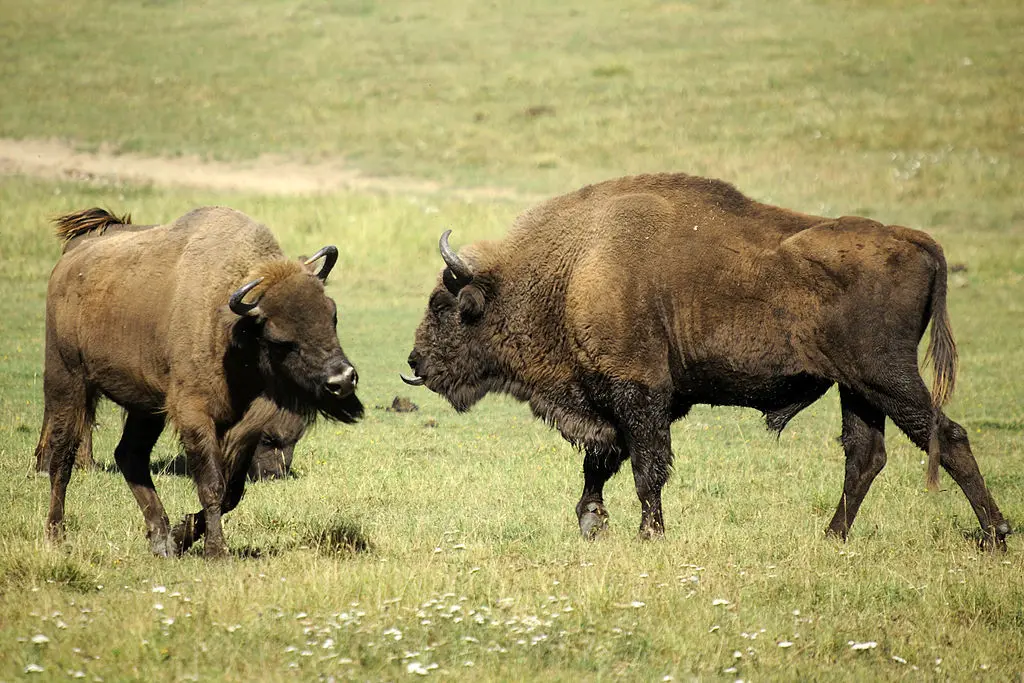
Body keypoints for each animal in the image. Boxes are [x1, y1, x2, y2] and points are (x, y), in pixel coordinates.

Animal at [37, 207, 363, 557]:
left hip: (146, 406)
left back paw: (161, 539)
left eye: (332, 315)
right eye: (280, 341)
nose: (342, 380)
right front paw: (216, 551)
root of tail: (68, 264)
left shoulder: (241, 427)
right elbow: (213, 486)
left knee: (130, 455)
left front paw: (181, 535)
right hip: (67, 382)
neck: (233, 327)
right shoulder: (195, 414)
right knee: (62, 458)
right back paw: (56, 536)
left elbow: (233, 491)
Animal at [404, 172, 1010, 550]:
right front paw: (592, 522)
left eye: (444, 305)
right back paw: (832, 537)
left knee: (946, 437)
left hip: (886, 377)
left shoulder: (640, 394)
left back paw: (996, 536)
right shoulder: (623, 401)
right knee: (866, 455)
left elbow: (647, 468)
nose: (415, 362)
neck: (571, 270)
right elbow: (603, 461)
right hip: (856, 388)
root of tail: (915, 240)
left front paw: (649, 534)